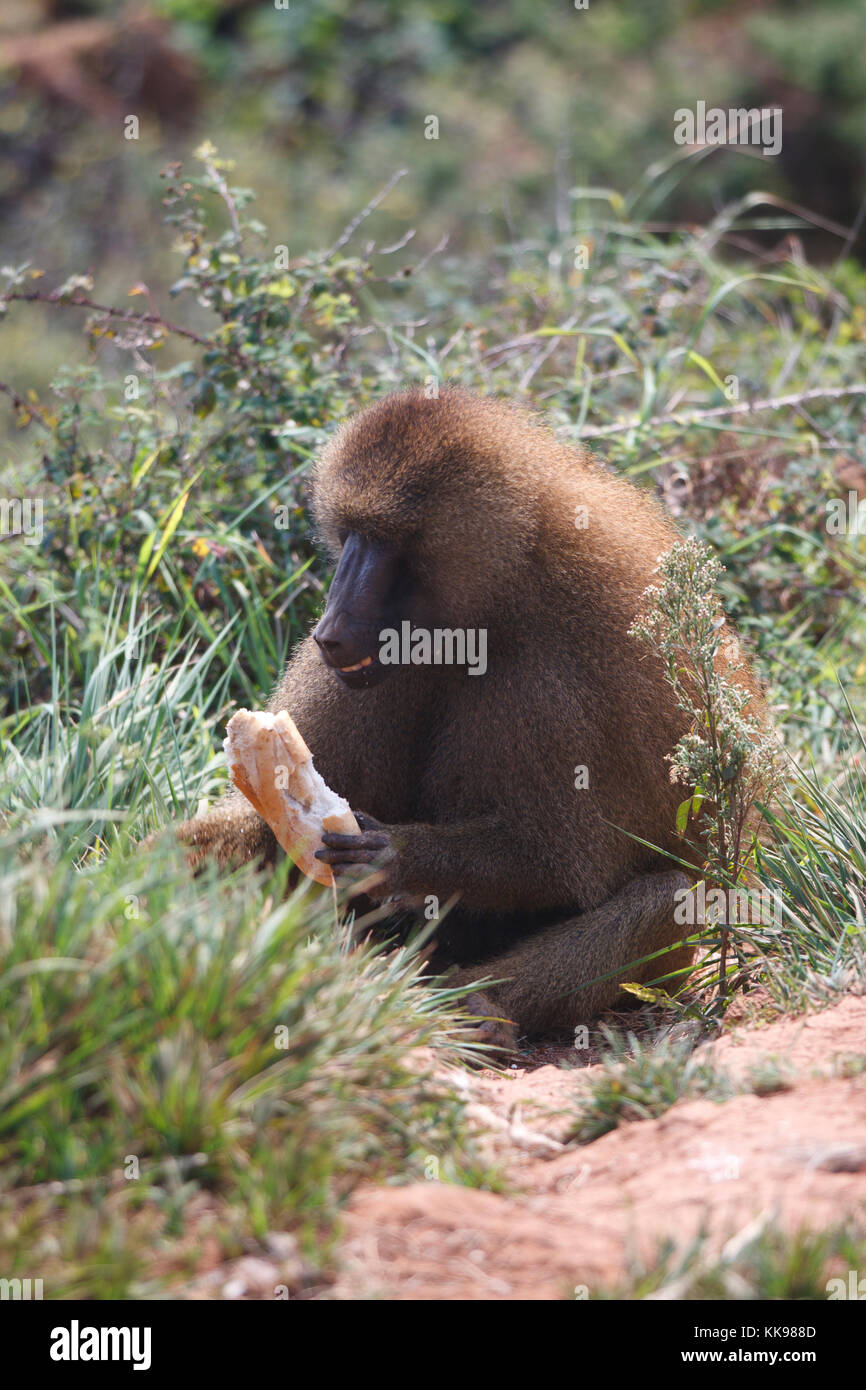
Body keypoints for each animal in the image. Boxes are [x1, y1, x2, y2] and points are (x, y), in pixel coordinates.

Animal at [176, 386, 762, 1049]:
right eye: (350, 534)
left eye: (388, 540)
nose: (330, 632)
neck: (495, 603)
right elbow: (270, 821)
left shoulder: (544, 680)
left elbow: (562, 863)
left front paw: (396, 856)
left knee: (672, 895)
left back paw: (478, 1009)